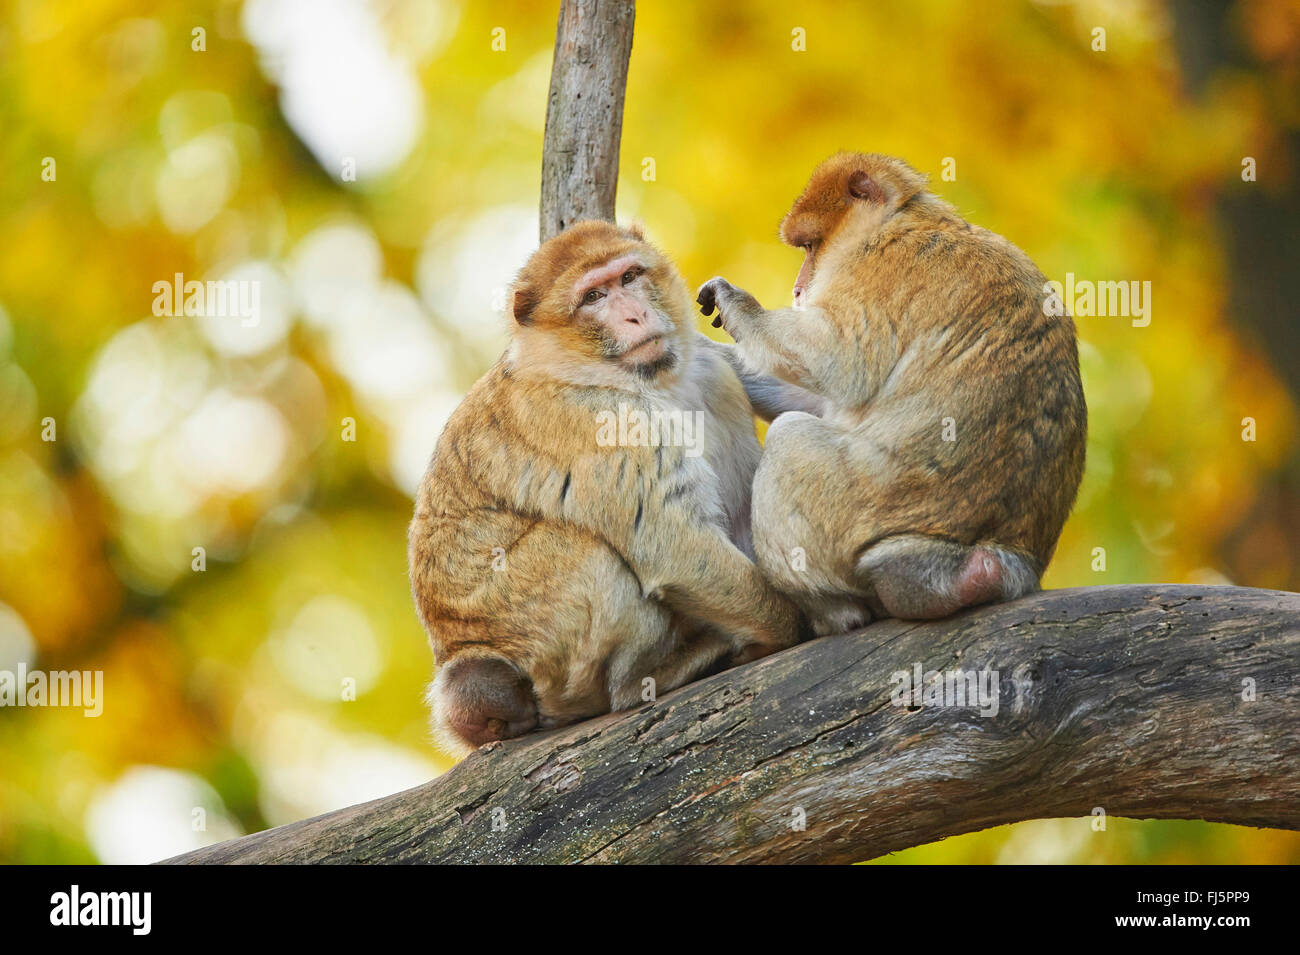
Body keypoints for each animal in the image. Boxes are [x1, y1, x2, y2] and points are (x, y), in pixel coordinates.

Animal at [409, 220, 804, 754]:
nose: (636, 314)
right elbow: (675, 549)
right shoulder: (608, 423)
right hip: (543, 651)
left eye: (629, 277)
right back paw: (647, 679)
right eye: (593, 296)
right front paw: (793, 624)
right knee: (589, 554)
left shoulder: (708, 370)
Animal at [697, 152, 1087, 636]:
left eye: (810, 246)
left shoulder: (878, 264)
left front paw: (735, 303)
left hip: (865, 503)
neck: (908, 217)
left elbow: (839, 362)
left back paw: (833, 610)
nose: (799, 288)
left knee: (793, 438)